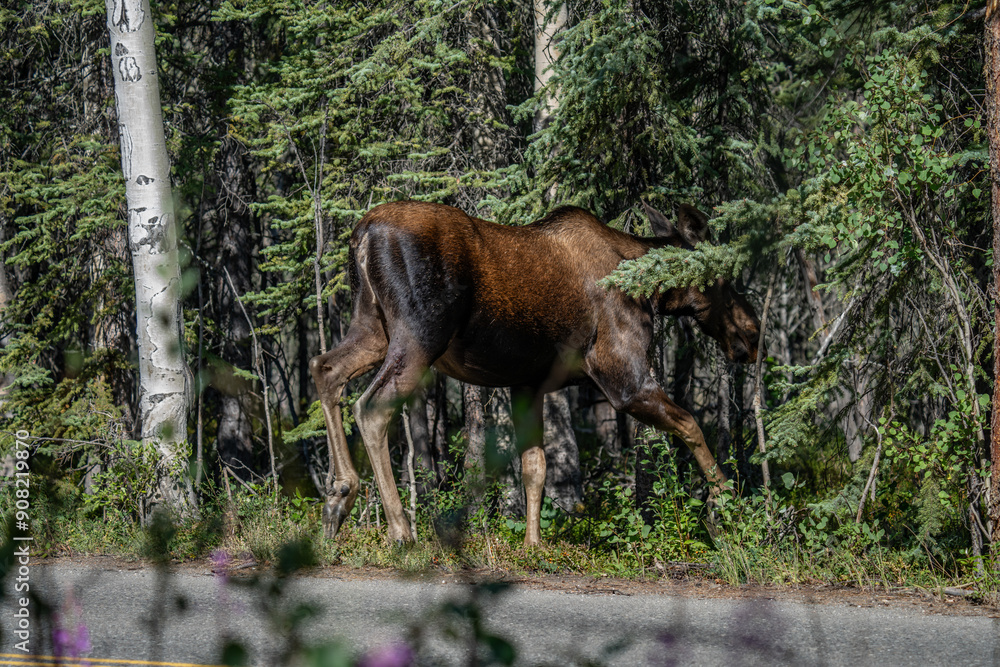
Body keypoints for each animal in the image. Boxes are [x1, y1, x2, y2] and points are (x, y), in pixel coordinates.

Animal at [309, 200, 760, 546]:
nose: (753, 332)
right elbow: (691, 424)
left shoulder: (529, 383)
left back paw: (338, 499)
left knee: (325, 368)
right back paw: (400, 530)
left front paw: (533, 544)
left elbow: (535, 467)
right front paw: (724, 508)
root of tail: (362, 235)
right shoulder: (624, 379)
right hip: (419, 336)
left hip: (372, 328)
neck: (652, 293)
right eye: (724, 275)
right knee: (371, 407)